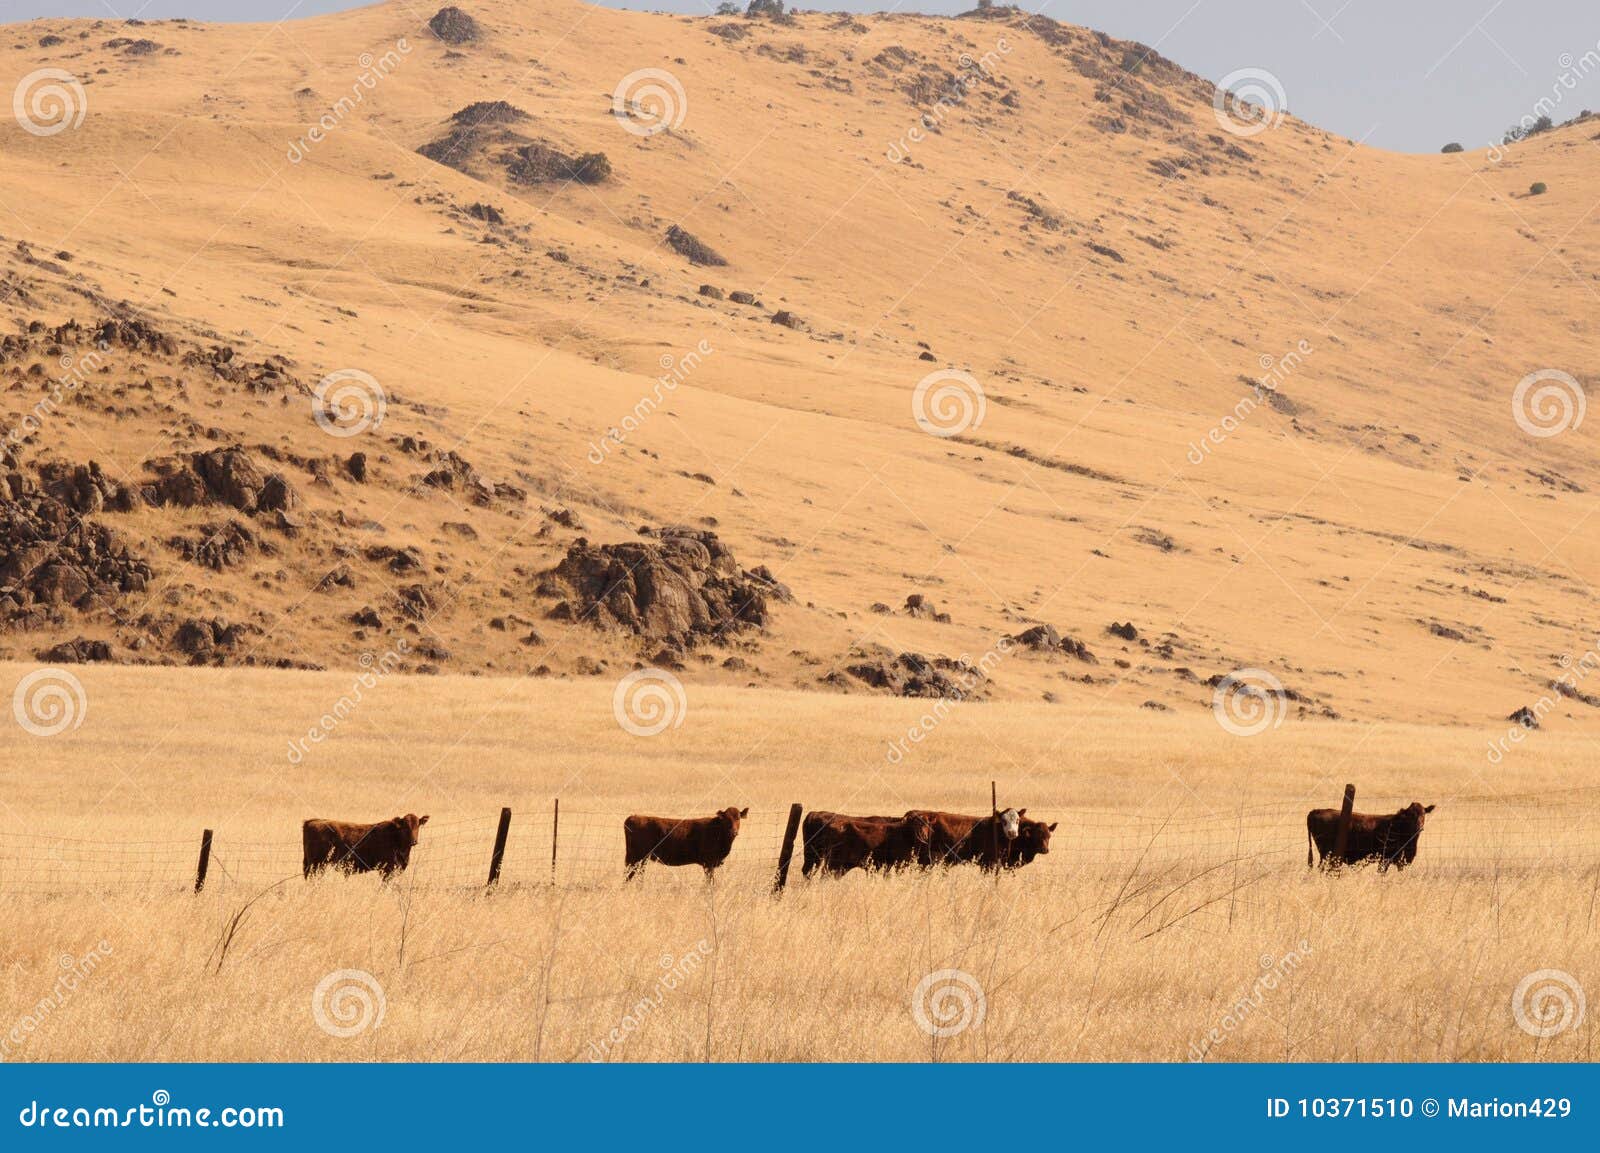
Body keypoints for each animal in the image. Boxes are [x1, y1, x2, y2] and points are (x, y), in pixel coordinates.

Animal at [1306, 802, 1436, 871]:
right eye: (1411, 815)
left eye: (1424, 814)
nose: (1419, 827)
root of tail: (1316, 811)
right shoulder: (1385, 859)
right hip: (1326, 854)